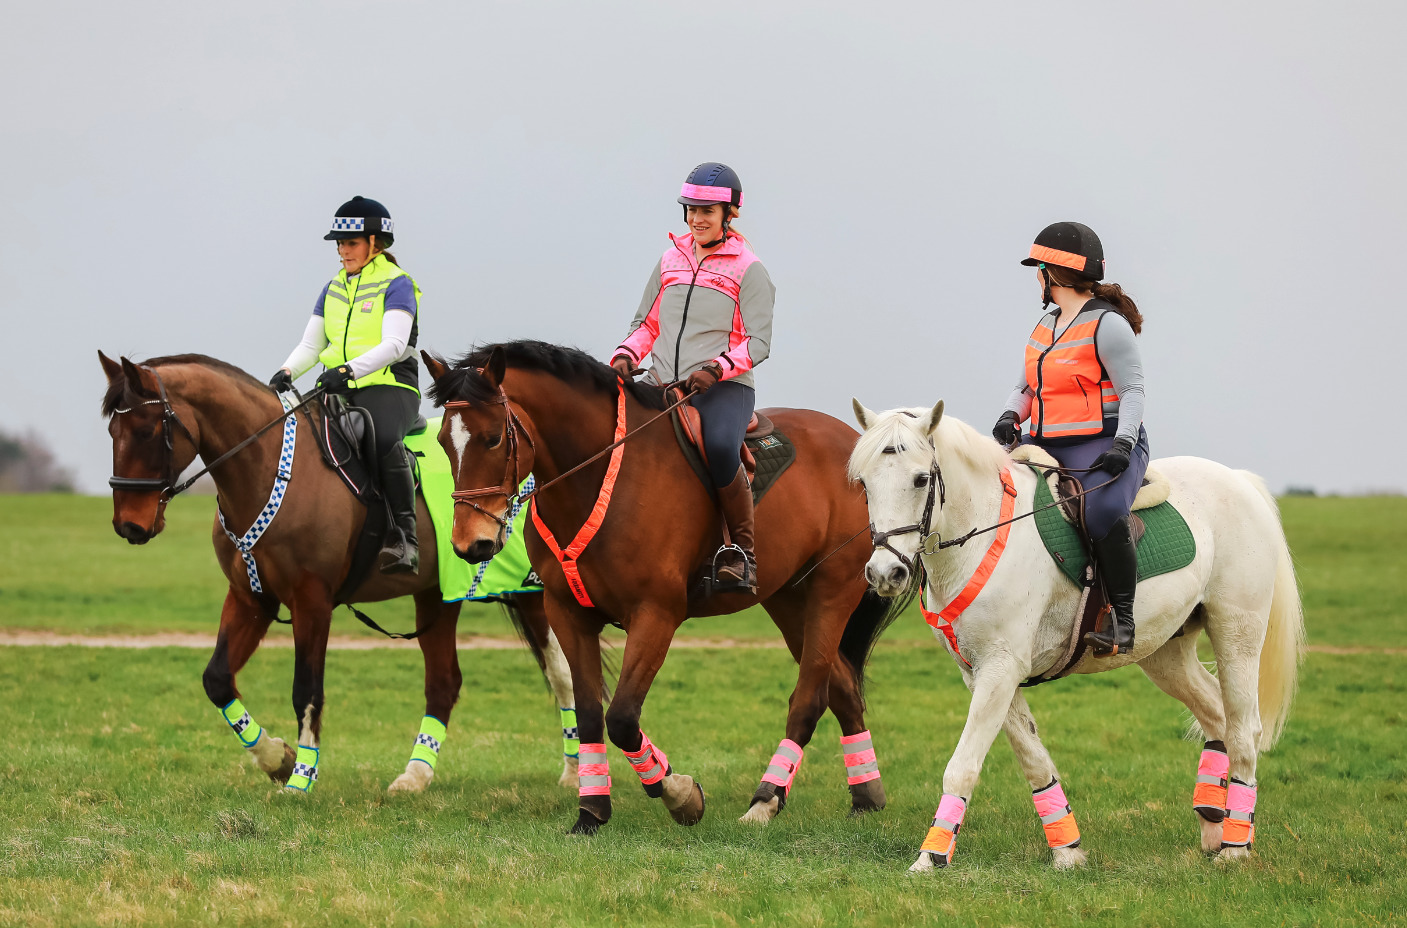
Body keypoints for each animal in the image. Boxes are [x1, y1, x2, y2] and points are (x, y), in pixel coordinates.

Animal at [98, 351, 580, 793]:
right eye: (111, 432)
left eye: (145, 432)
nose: (129, 525)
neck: (271, 469)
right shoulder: (251, 597)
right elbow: (217, 680)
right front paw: (276, 758)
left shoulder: (311, 601)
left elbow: (307, 689)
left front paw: (301, 777)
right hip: (437, 596)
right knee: (444, 682)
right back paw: (415, 776)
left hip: (531, 595)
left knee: (562, 673)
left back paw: (574, 773)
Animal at [422, 341, 904, 834]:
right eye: (442, 443)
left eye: (493, 438)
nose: (471, 543)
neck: (600, 478)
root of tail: (853, 440)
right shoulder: (568, 614)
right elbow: (590, 713)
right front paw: (591, 812)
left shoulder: (656, 614)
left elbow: (621, 717)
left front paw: (679, 794)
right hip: (789, 600)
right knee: (841, 689)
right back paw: (866, 794)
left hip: (832, 593)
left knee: (809, 696)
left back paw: (765, 800)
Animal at [848, 399, 1304, 870]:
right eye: (864, 483)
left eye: (921, 479)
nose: (885, 573)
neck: (982, 534)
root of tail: (1240, 481)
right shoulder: (981, 673)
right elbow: (1034, 761)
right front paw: (1067, 850)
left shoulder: (1001, 669)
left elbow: (963, 766)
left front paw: (931, 856)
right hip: (1165, 652)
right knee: (1215, 714)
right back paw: (1216, 829)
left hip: (1237, 632)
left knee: (1245, 731)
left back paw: (1235, 845)